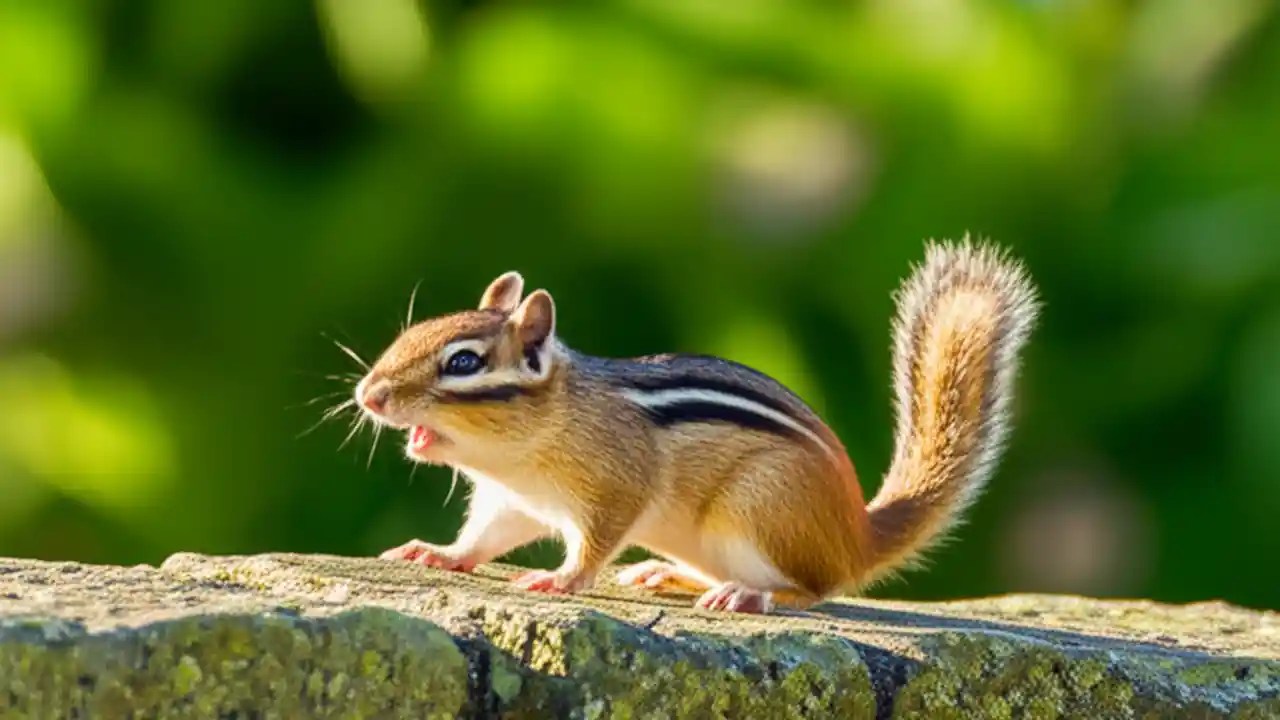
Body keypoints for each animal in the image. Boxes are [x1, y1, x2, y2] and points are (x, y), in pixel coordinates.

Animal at [353, 238, 1039, 613]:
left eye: (463, 362)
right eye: (415, 331)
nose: (369, 395)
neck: (524, 449)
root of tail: (857, 535)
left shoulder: (617, 483)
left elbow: (595, 541)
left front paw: (561, 577)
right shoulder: (511, 502)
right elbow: (484, 538)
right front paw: (438, 553)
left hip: (762, 506)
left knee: (818, 588)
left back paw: (751, 595)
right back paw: (668, 574)